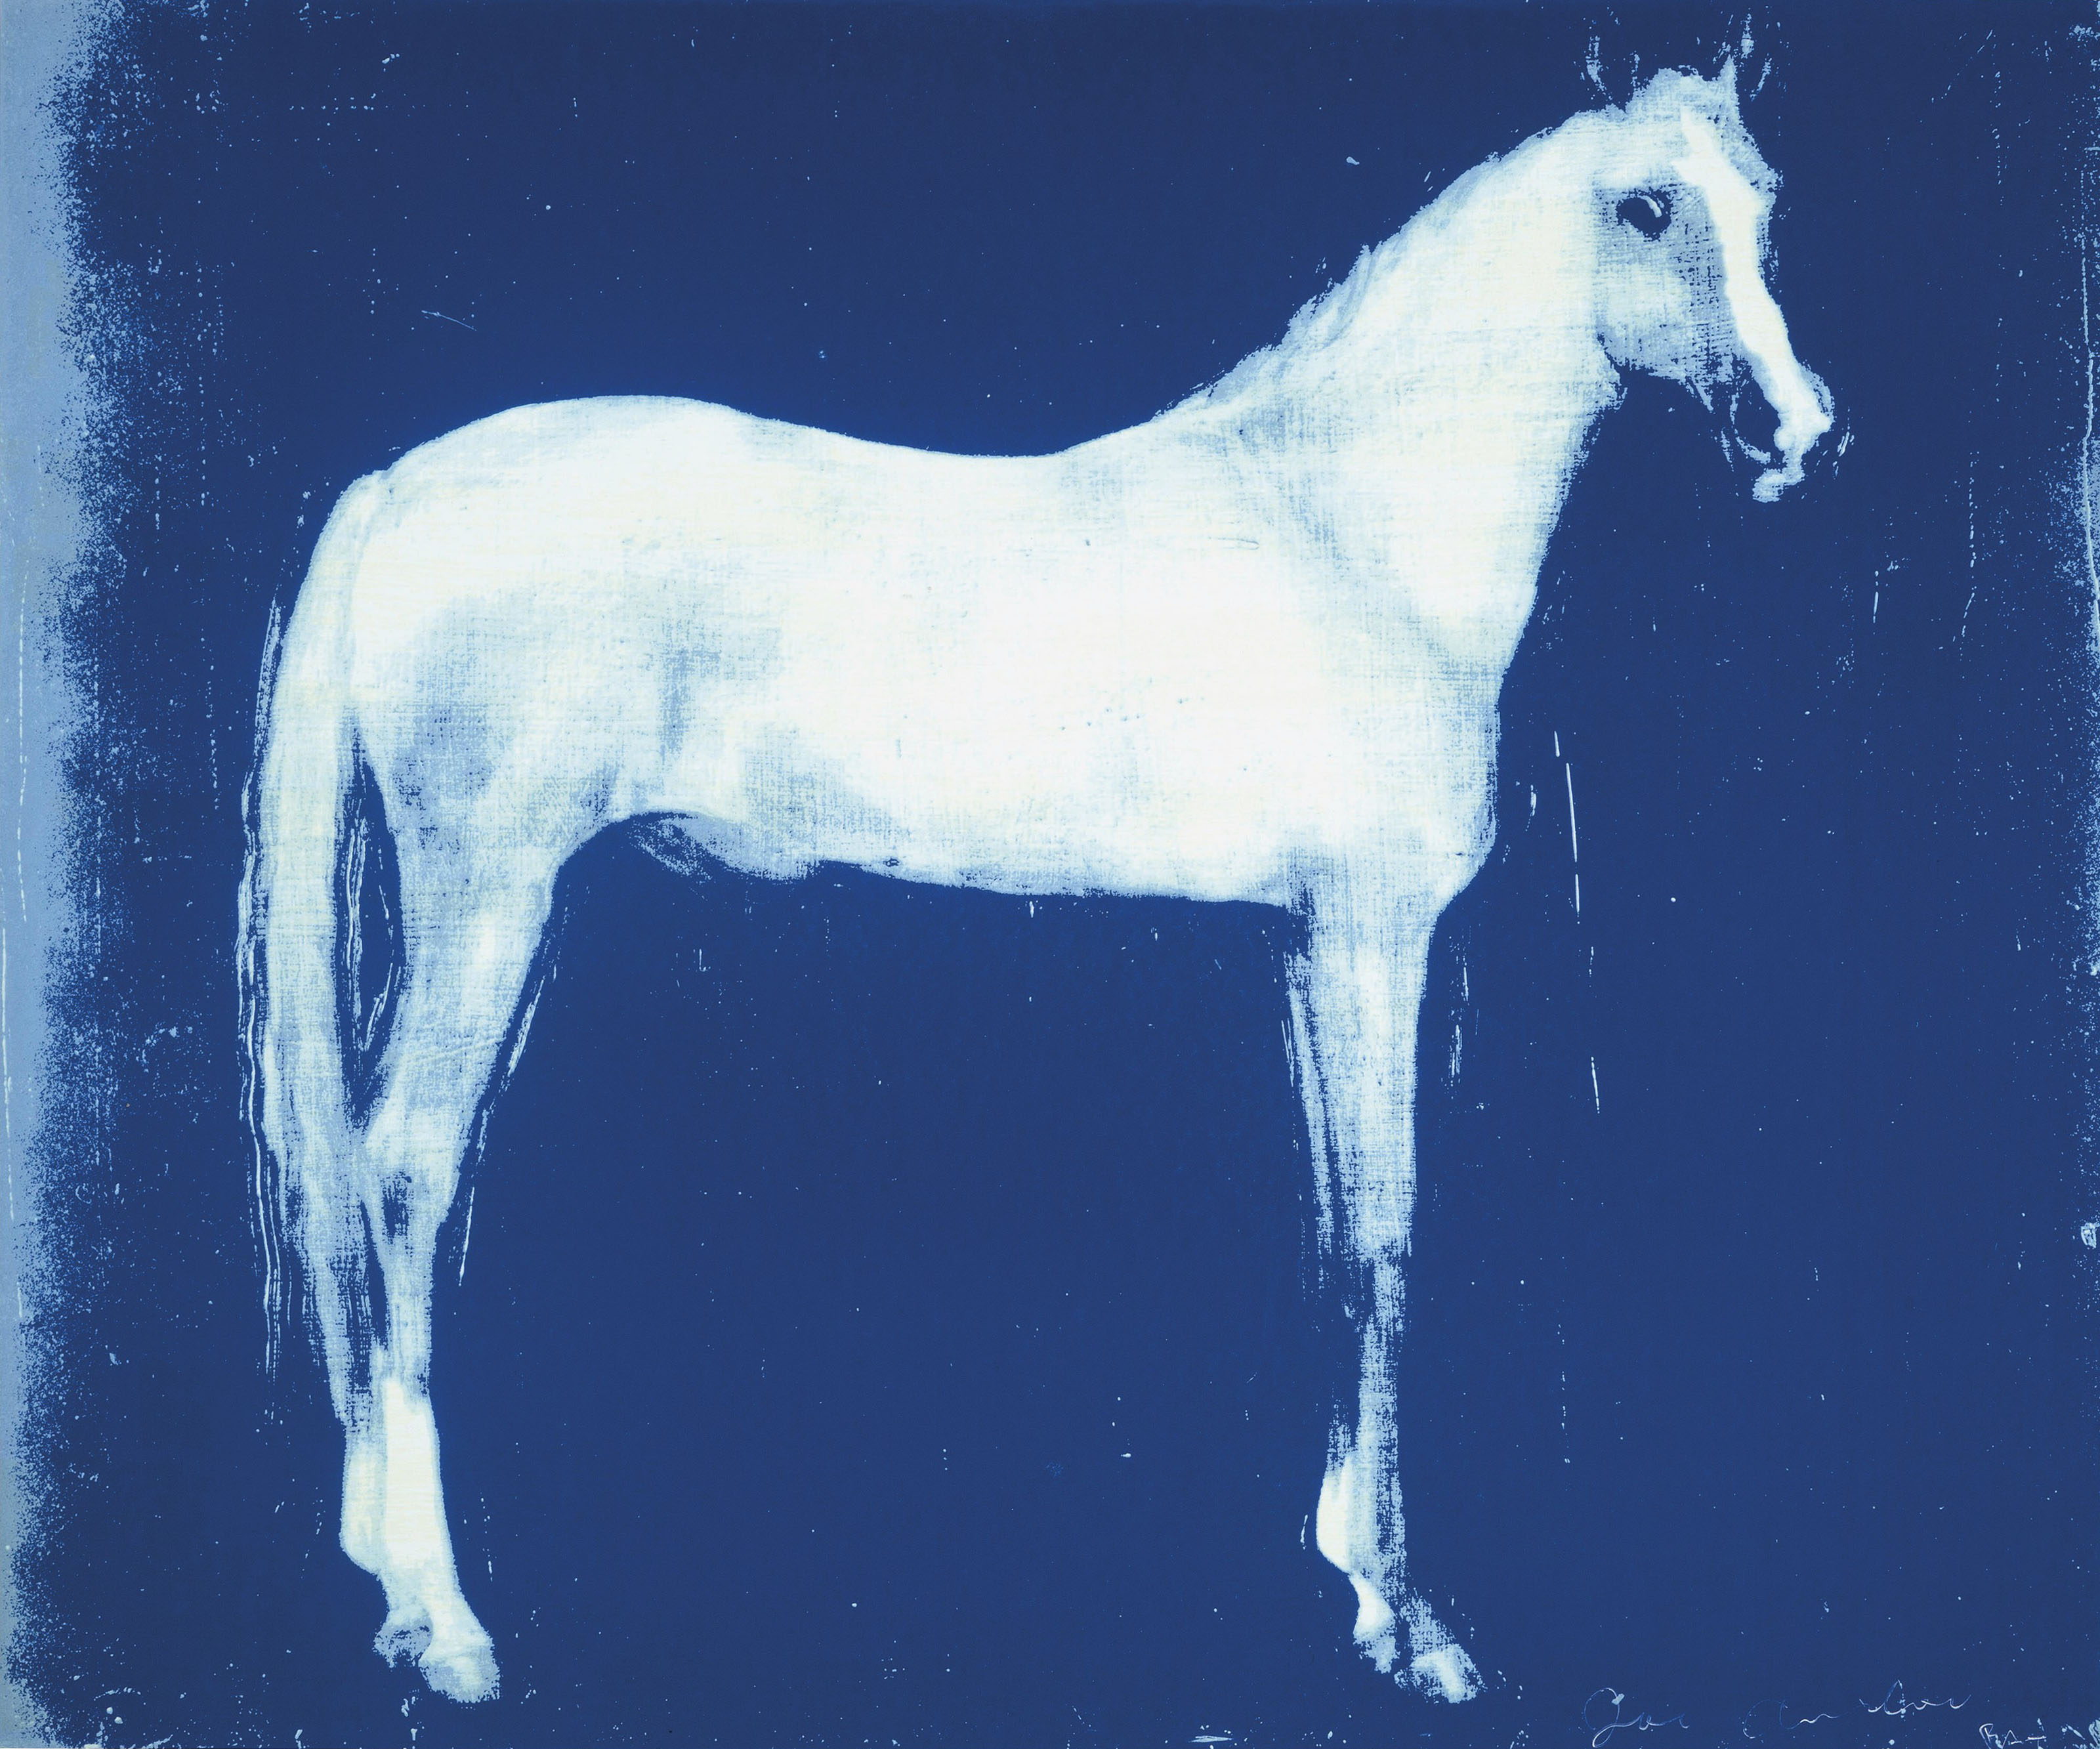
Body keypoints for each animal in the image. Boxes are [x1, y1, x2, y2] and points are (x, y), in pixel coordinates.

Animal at [239, 63, 1832, 1707]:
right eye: (1644, 207)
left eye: (1763, 203)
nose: (1798, 431)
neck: (1343, 532)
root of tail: (399, 486)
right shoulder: (1372, 936)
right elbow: (1383, 1242)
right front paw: (1407, 1620)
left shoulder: (1309, 950)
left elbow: (1339, 1232)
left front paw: (1348, 1571)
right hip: (486, 897)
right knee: (401, 1172)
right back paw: (445, 1621)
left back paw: (386, 1578)